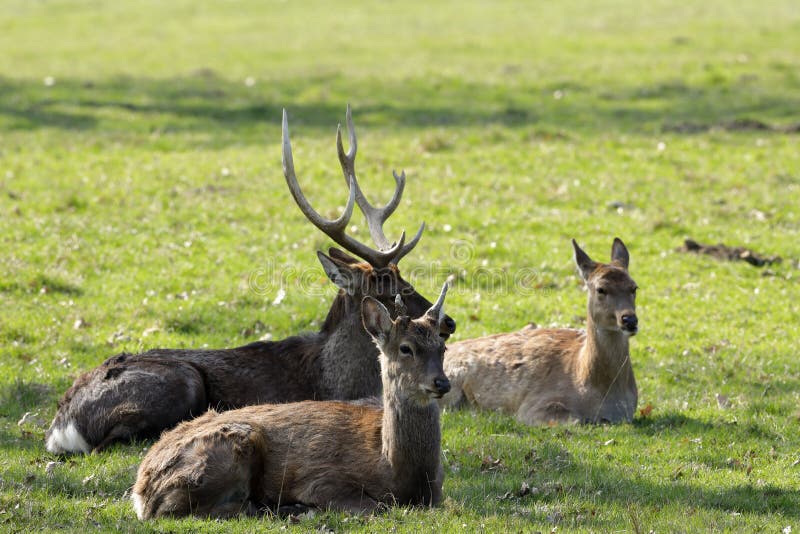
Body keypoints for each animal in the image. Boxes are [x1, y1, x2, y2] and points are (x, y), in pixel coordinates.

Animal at [45, 106, 456, 455]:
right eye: (387, 286)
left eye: (404, 276)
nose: (449, 321)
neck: (335, 377)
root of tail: (61, 426)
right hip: (184, 381)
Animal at [132, 283, 452, 519]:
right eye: (406, 348)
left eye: (443, 347)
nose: (442, 382)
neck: (398, 473)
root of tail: (140, 490)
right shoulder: (320, 480)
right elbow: (377, 506)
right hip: (228, 447)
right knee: (182, 510)